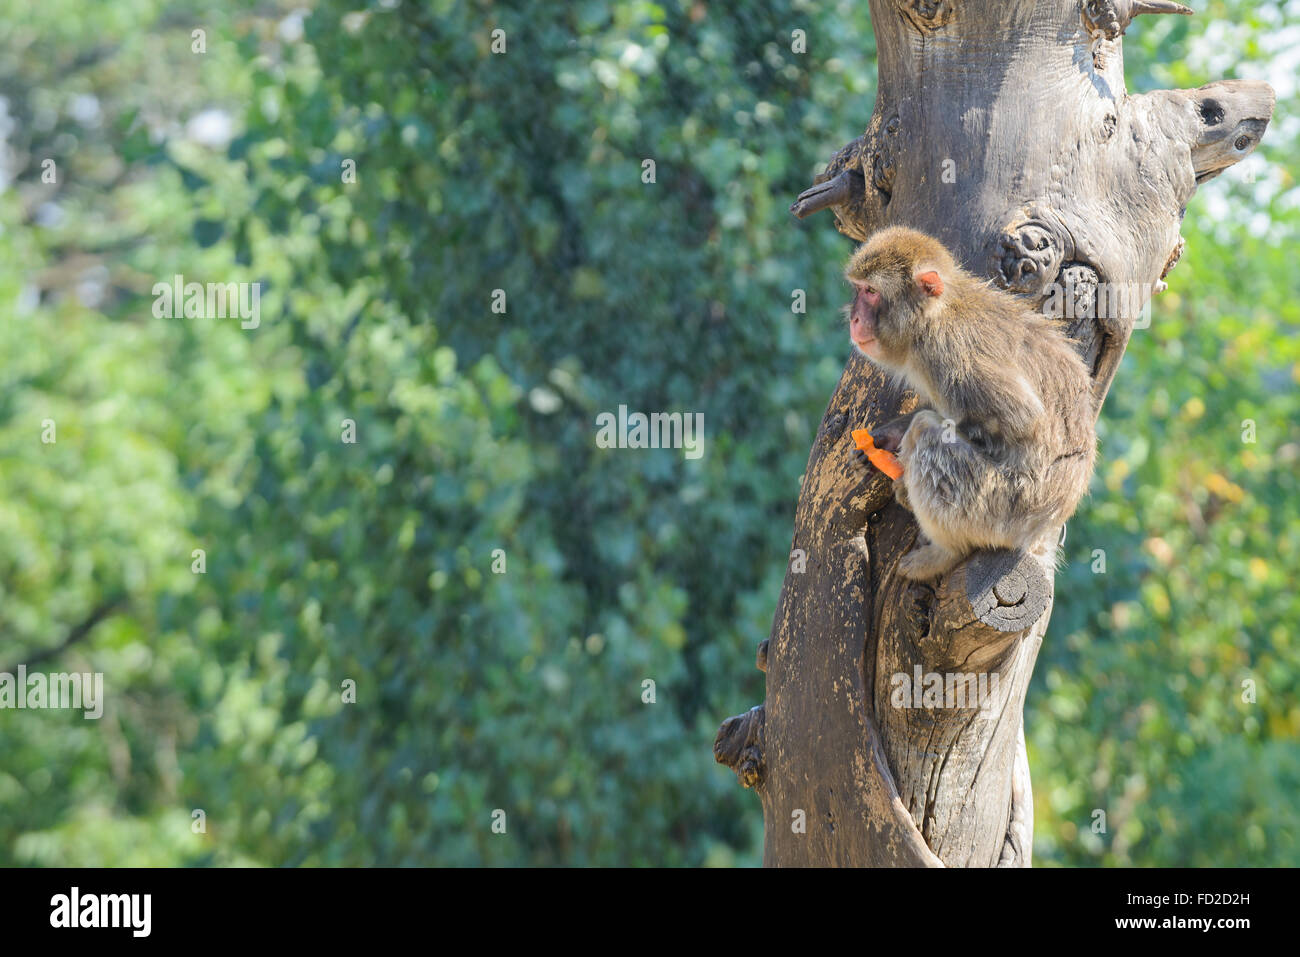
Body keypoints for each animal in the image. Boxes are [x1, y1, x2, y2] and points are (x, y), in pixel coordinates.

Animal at [844, 226, 1096, 581]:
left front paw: (903, 480)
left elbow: (1025, 425)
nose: (854, 318)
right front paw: (885, 439)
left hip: (999, 510)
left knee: (928, 433)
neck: (935, 315)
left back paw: (944, 553)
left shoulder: (950, 355)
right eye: (859, 289)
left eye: (871, 292)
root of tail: (1043, 529)